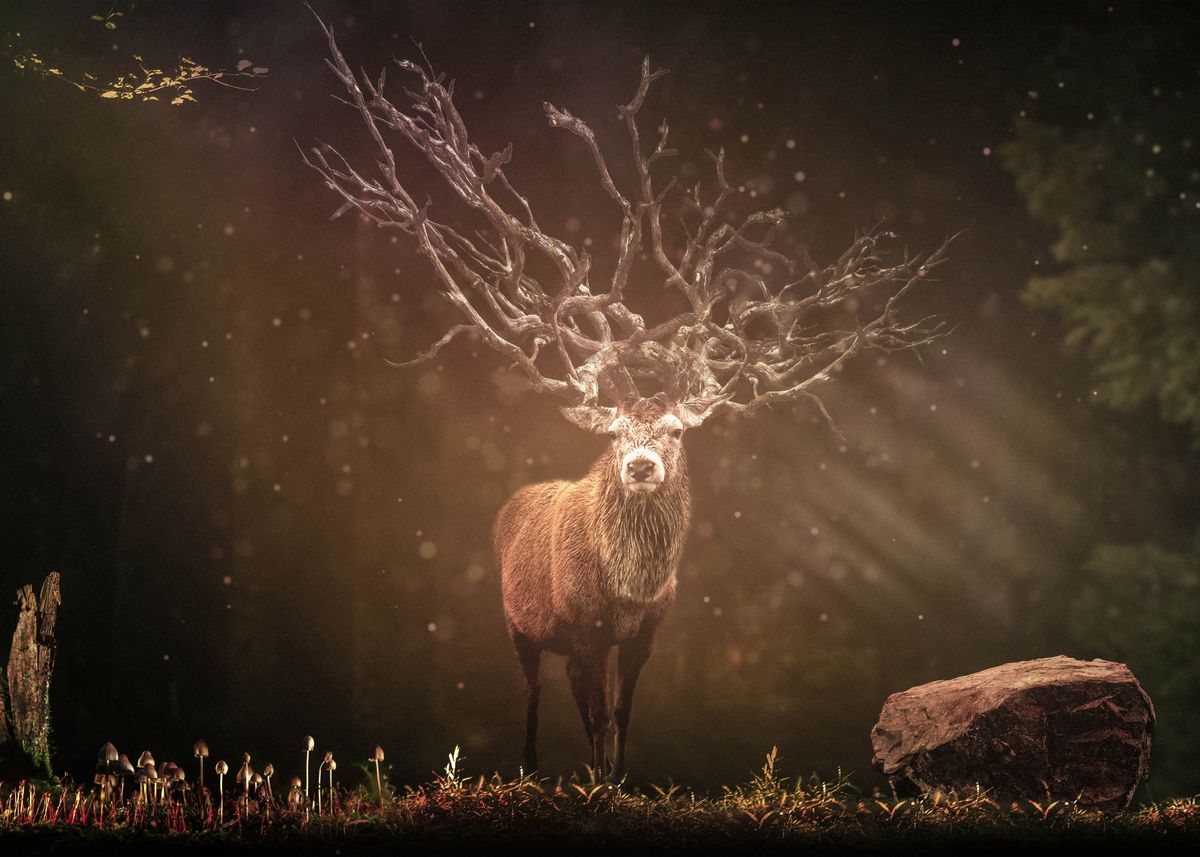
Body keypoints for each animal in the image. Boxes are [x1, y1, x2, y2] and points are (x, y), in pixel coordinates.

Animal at [304, 14, 951, 780]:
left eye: (674, 429)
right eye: (614, 433)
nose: (642, 465)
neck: (629, 585)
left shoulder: (645, 631)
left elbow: (623, 710)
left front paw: (619, 777)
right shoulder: (581, 627)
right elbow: (588, 712)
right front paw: (592, 783)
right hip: (518, 622)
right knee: (531, 689)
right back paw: (529, 766)